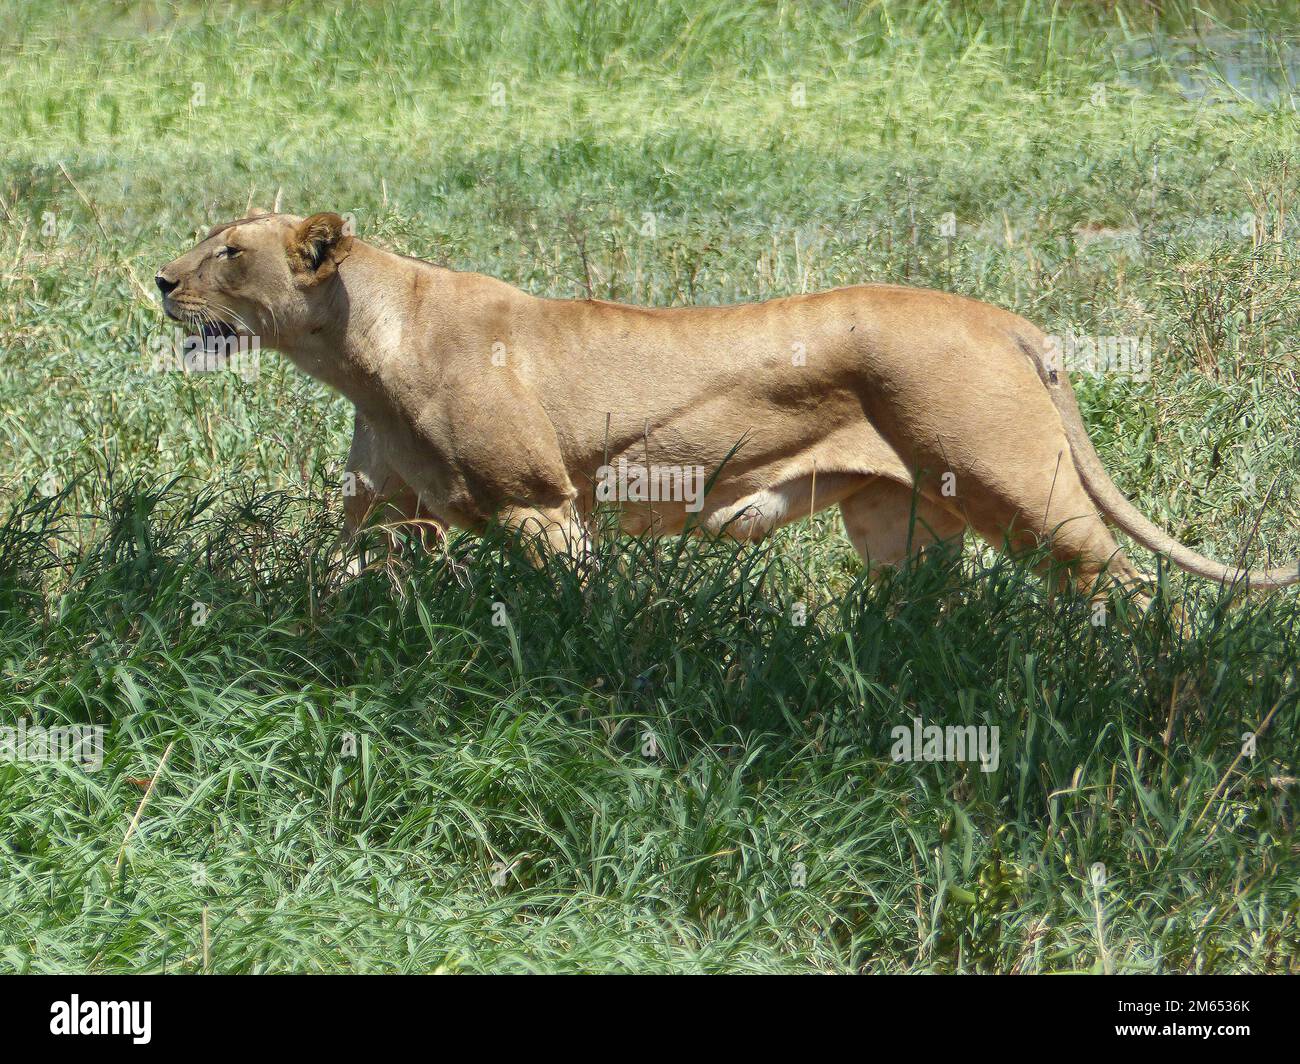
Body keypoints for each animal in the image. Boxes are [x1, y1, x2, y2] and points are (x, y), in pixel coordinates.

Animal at [155, 210, 1299, 595]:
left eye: (230, 252)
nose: (159, 279)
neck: (356, 351)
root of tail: (1009, 318)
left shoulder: (540, 505)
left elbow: (570, 605)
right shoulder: (385, 514)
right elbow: (336, 576)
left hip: (1016, 480)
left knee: (1116, 579)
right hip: (901, 517)